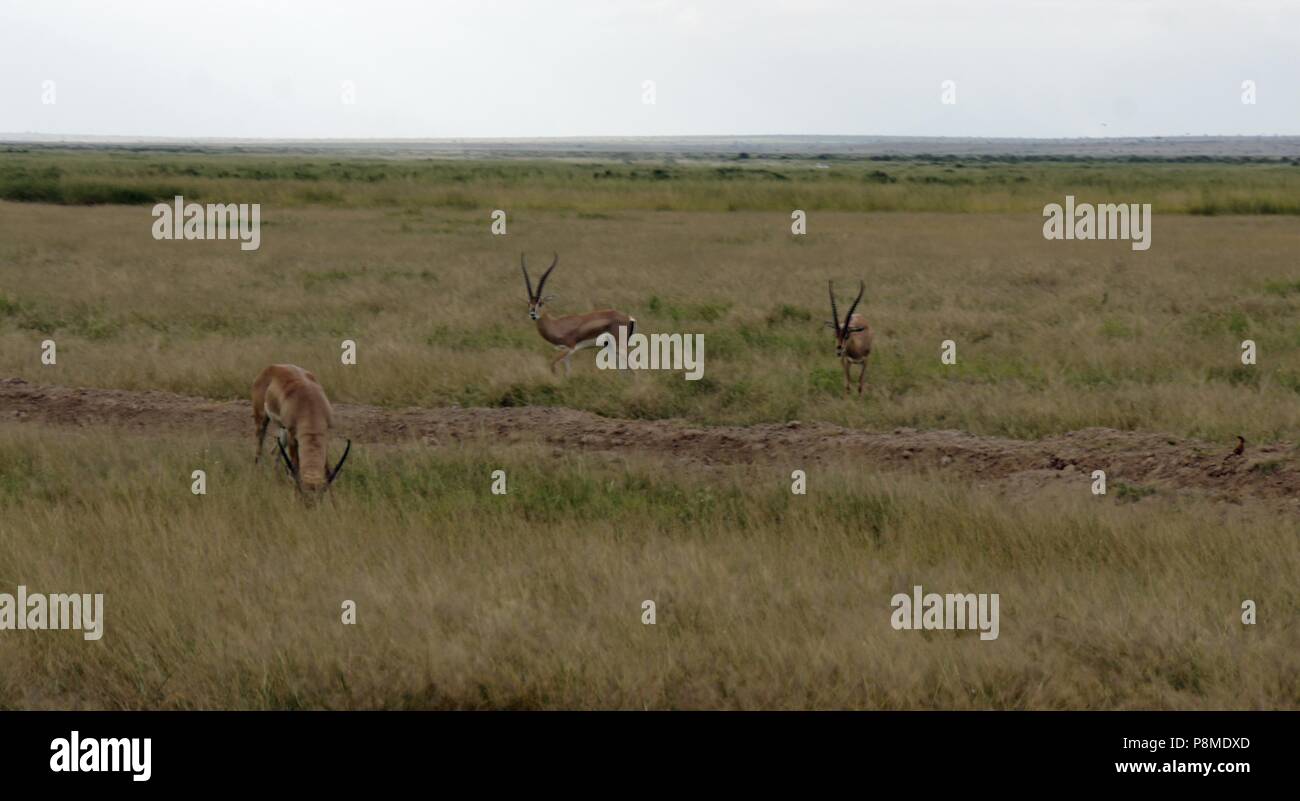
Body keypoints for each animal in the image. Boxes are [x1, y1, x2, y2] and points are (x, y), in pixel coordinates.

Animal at [252, 364, 351, 495]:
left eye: (319, 496)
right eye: (304, 495)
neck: (310, 405)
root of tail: (273, 367)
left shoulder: (325, 435)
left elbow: (327, 469)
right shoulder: (292, 436)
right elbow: (295, 466)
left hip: (283, 431)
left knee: (274, 453)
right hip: (262, 419)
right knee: (259, 451)